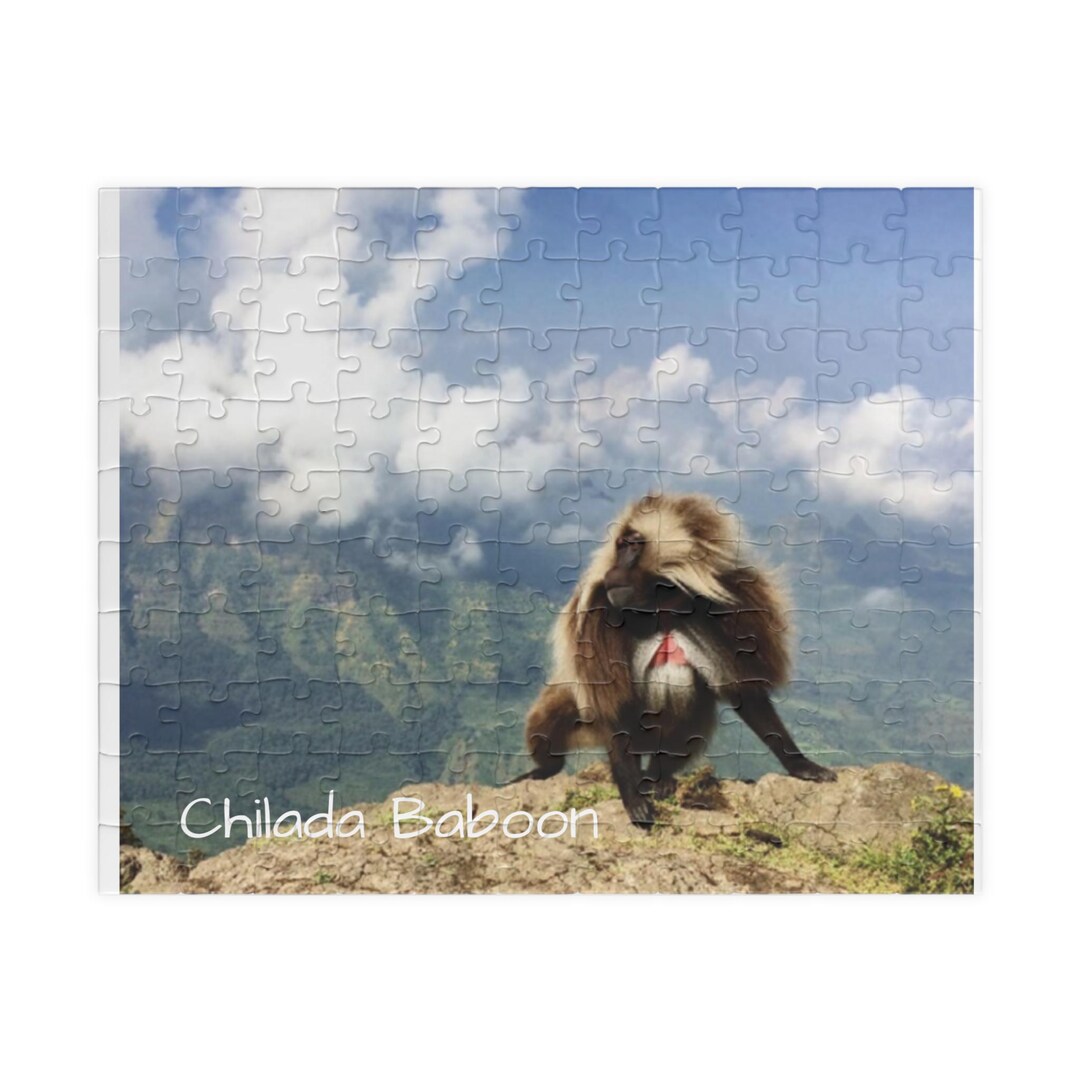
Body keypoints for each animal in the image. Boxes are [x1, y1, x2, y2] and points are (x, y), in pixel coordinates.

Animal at [512, 493, 836, 827]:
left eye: (634, 545)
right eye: (621, 545)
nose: (614, 570)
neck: (658, 603)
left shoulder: (725, 604)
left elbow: (744, 692)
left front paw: (800, 764)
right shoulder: (598, 613)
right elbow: (613, 703)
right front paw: (633, 797)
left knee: (683, 683)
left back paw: (660, 775)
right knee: (551, 715)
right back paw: (547, 768)